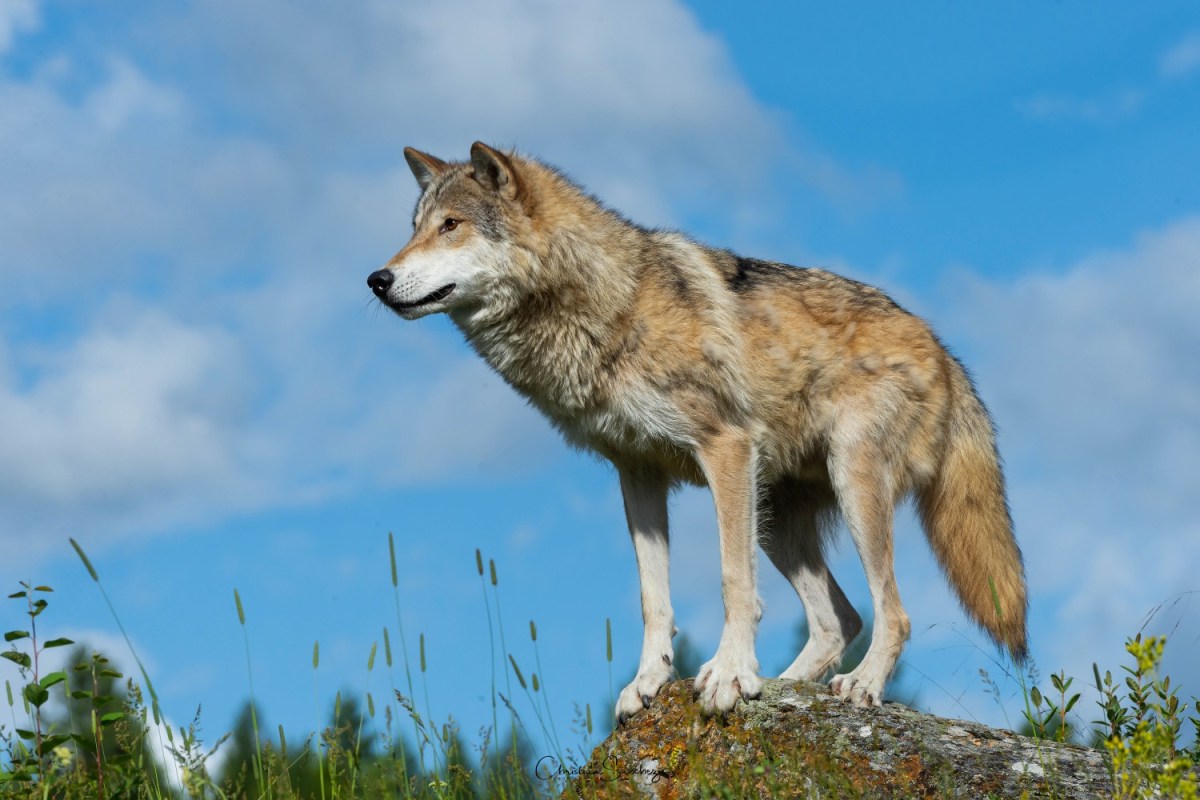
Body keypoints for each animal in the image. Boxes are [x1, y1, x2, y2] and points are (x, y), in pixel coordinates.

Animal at [368, 142, 1027, 720]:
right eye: (414, 226)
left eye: (451, 225)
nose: (377, 279)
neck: (612, 306)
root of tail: (944, 349)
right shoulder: (636, 474)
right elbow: (652, 599)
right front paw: (649, 682)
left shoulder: (725, 448)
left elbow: (733, 582)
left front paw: (729, 676)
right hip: (777, 519)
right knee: (841, 619)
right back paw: (784, 687)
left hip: (849, 484)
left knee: (892, 613)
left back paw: (859, 687)